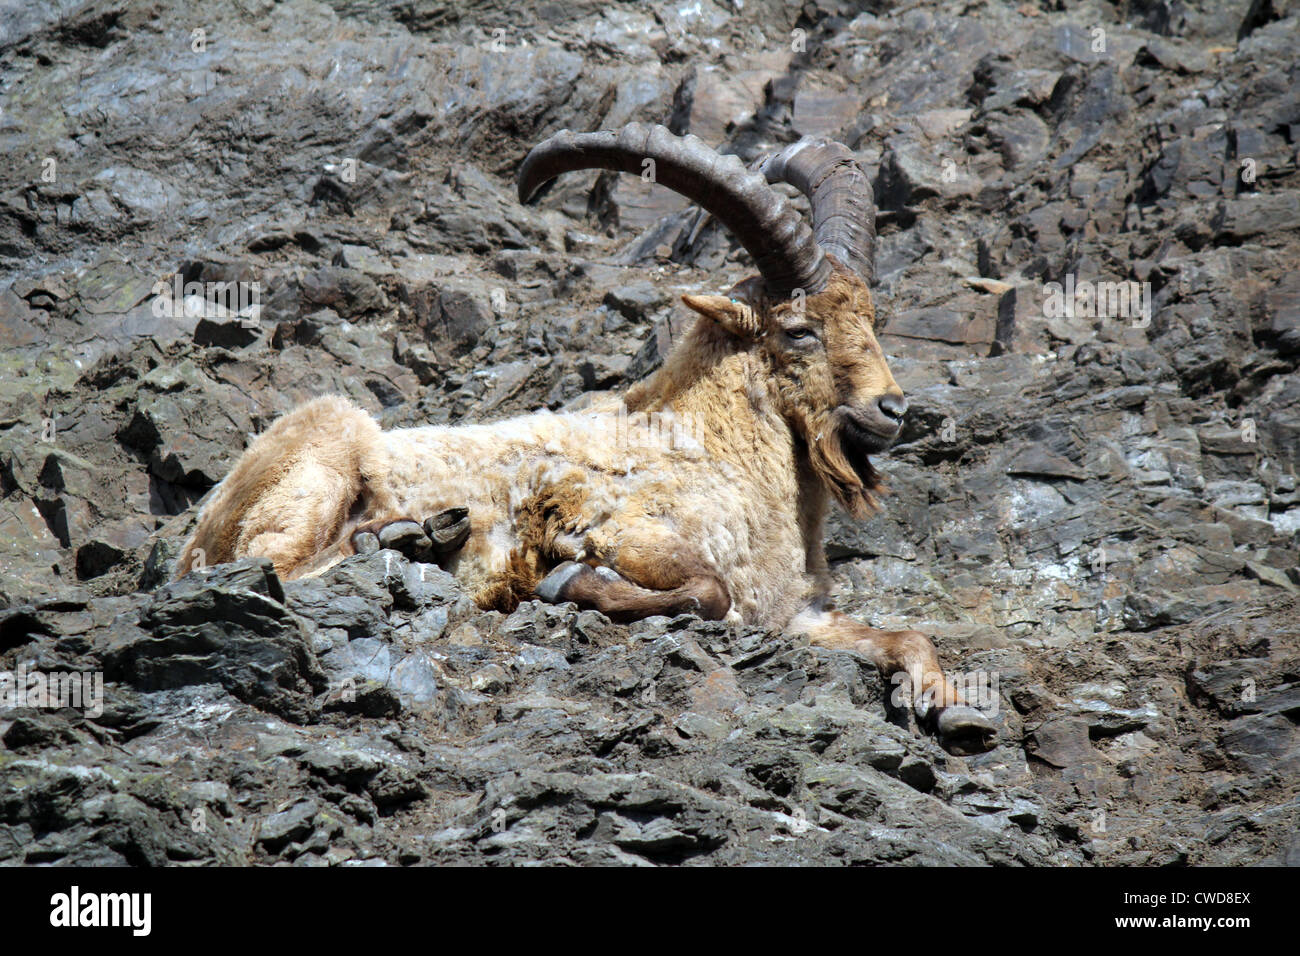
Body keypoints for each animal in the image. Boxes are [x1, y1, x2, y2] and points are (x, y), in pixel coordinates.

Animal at [174, 124, 996, 753]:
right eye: (798, 330)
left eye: (871, 319)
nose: (892, 410)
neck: (721, 455)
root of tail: (197, 529)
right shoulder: (617, 524)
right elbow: (706, 590)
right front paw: (567, 582)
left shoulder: (797, 615)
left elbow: (904, 635)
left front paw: (950, 707)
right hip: (328, 446)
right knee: (278, 566)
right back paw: (404, 538)